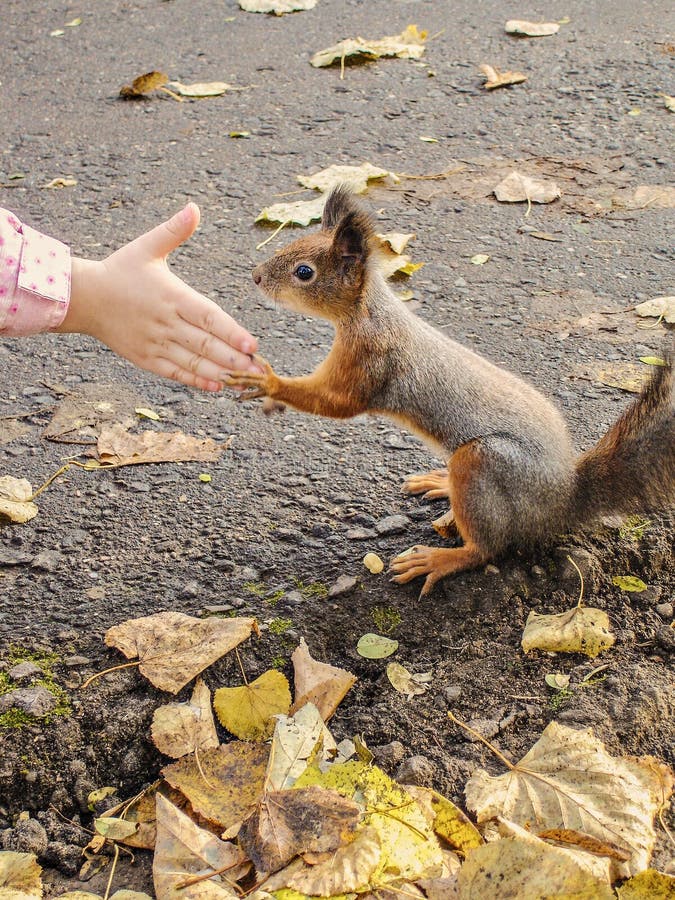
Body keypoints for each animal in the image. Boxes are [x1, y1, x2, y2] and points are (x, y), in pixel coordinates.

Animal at [226, 187, 675, 596]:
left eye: (304, 272)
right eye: (290, 244)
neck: (369, 311)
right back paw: (442, 484)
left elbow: (337, 402)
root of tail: (563, 497)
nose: (255, 276)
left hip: (486, 465)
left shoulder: (371, 359)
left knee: (486, 548)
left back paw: (438, 559)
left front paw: (268, 382)